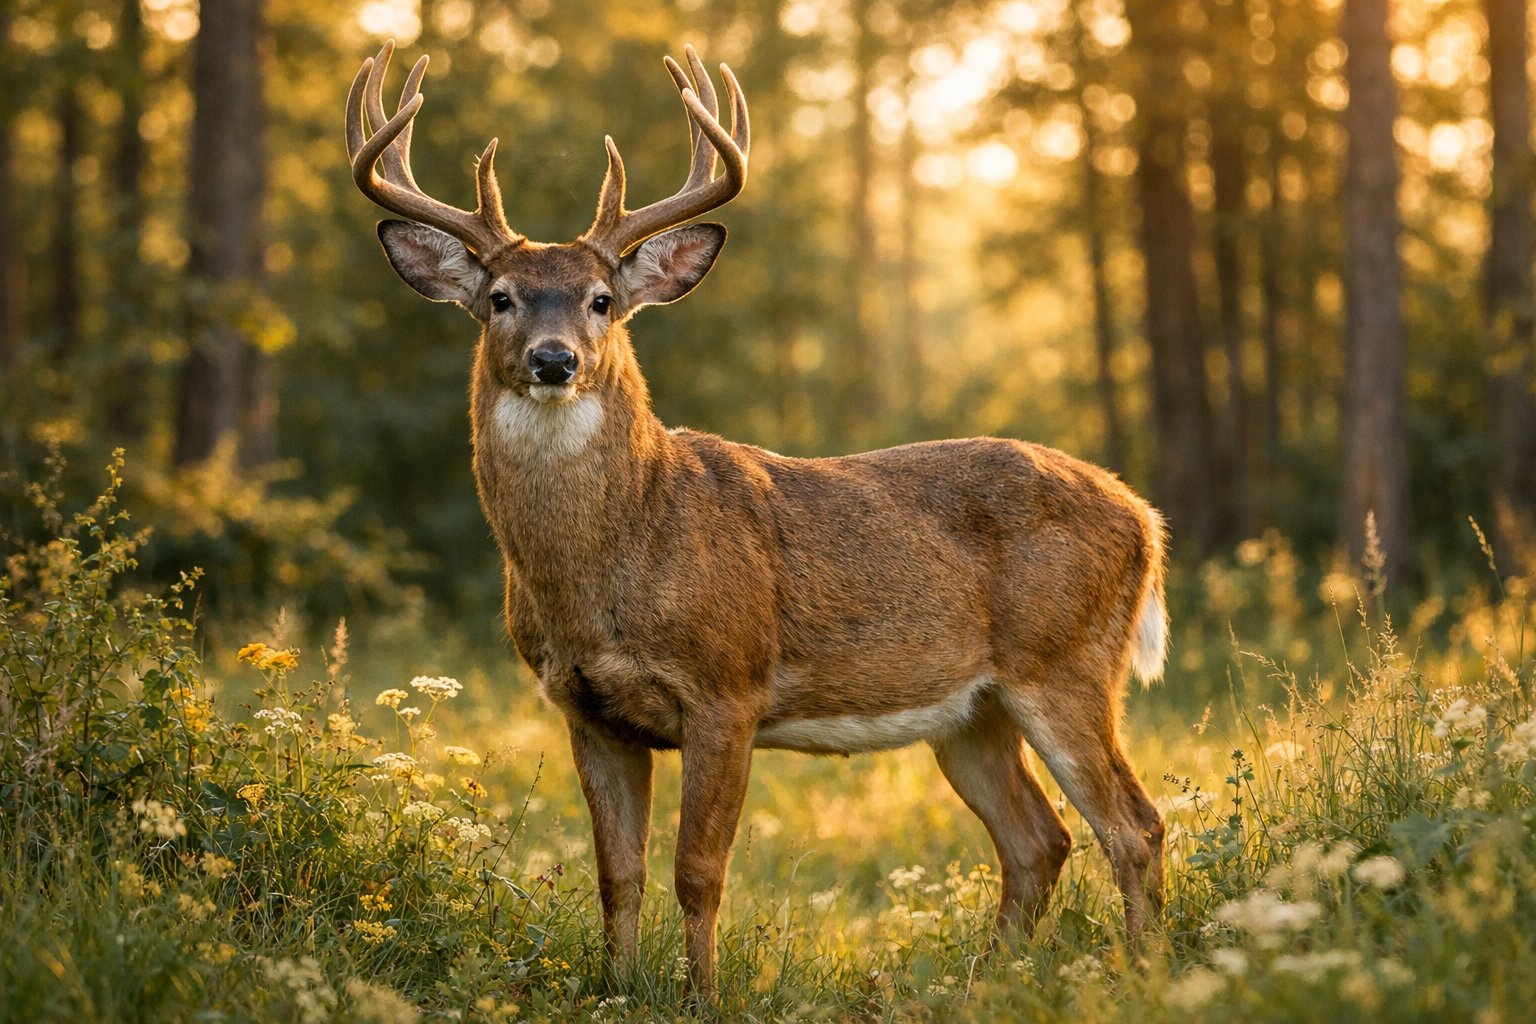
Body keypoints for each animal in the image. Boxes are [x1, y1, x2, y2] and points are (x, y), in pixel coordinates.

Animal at [345, 41, 1170, 993]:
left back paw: (1144, 972)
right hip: (973, 710)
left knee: (1134, 825)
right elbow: (617, 873)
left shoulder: (726, 688)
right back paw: (984, 981)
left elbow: (697, 871)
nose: (555, 360)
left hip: (1065, 663)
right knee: (1040, 839)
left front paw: (698, 995)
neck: (613, 565)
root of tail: (1145, 518)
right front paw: (619, 989)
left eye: (600, 300)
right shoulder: (585, 709)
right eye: (501, 298)